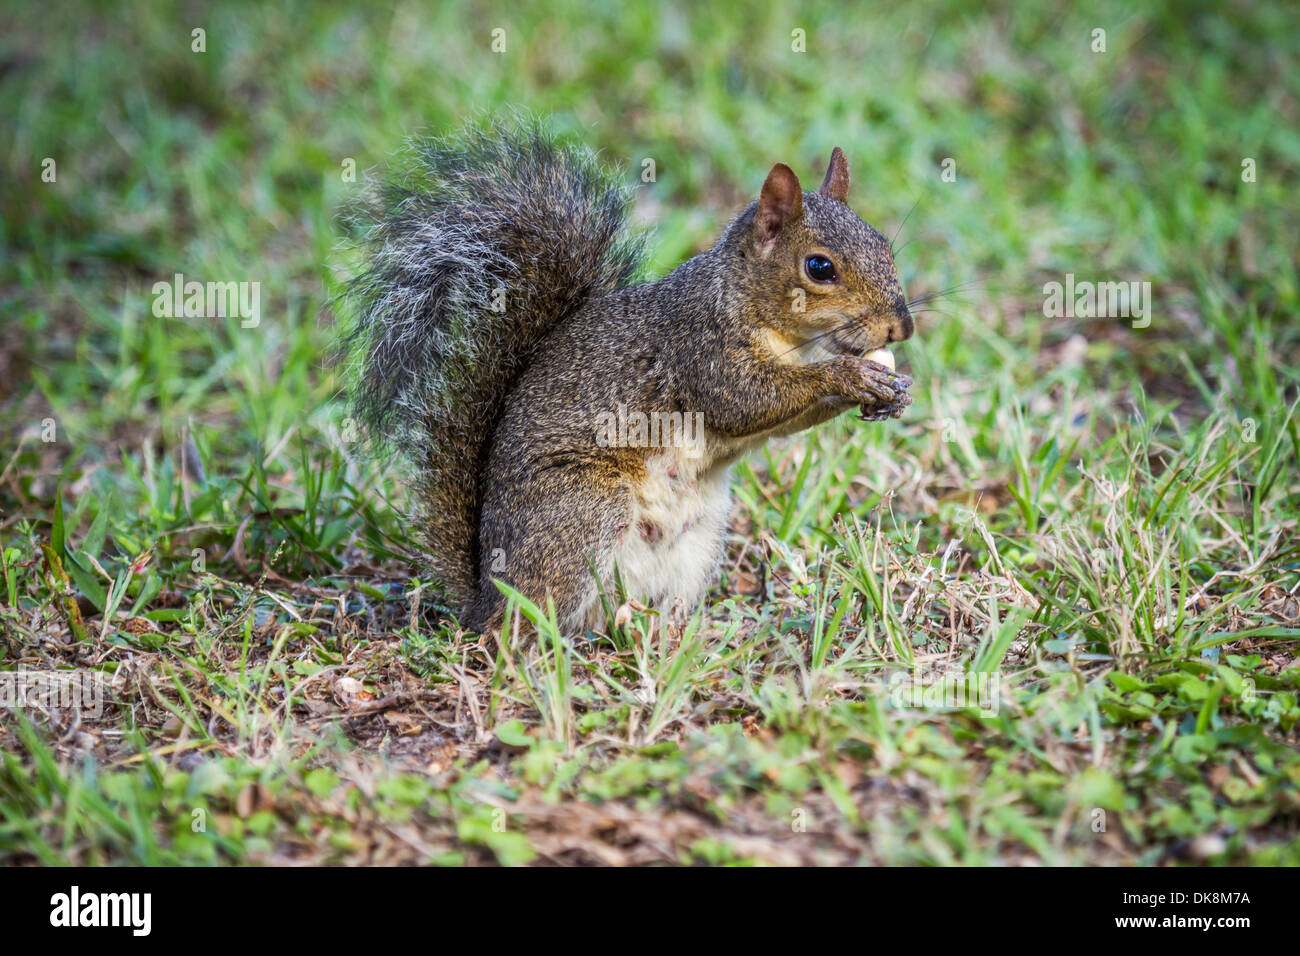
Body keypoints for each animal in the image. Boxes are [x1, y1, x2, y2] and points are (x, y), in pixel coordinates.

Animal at [345, 117, 914, 635]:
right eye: (819, 267)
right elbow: (744, 400)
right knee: (520, 625)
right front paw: (848, 376)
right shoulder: (700, 346)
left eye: (886, 247)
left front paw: (890, 391)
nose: (901, 328)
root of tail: (484, 593)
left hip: (698, 541)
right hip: (581, 510)